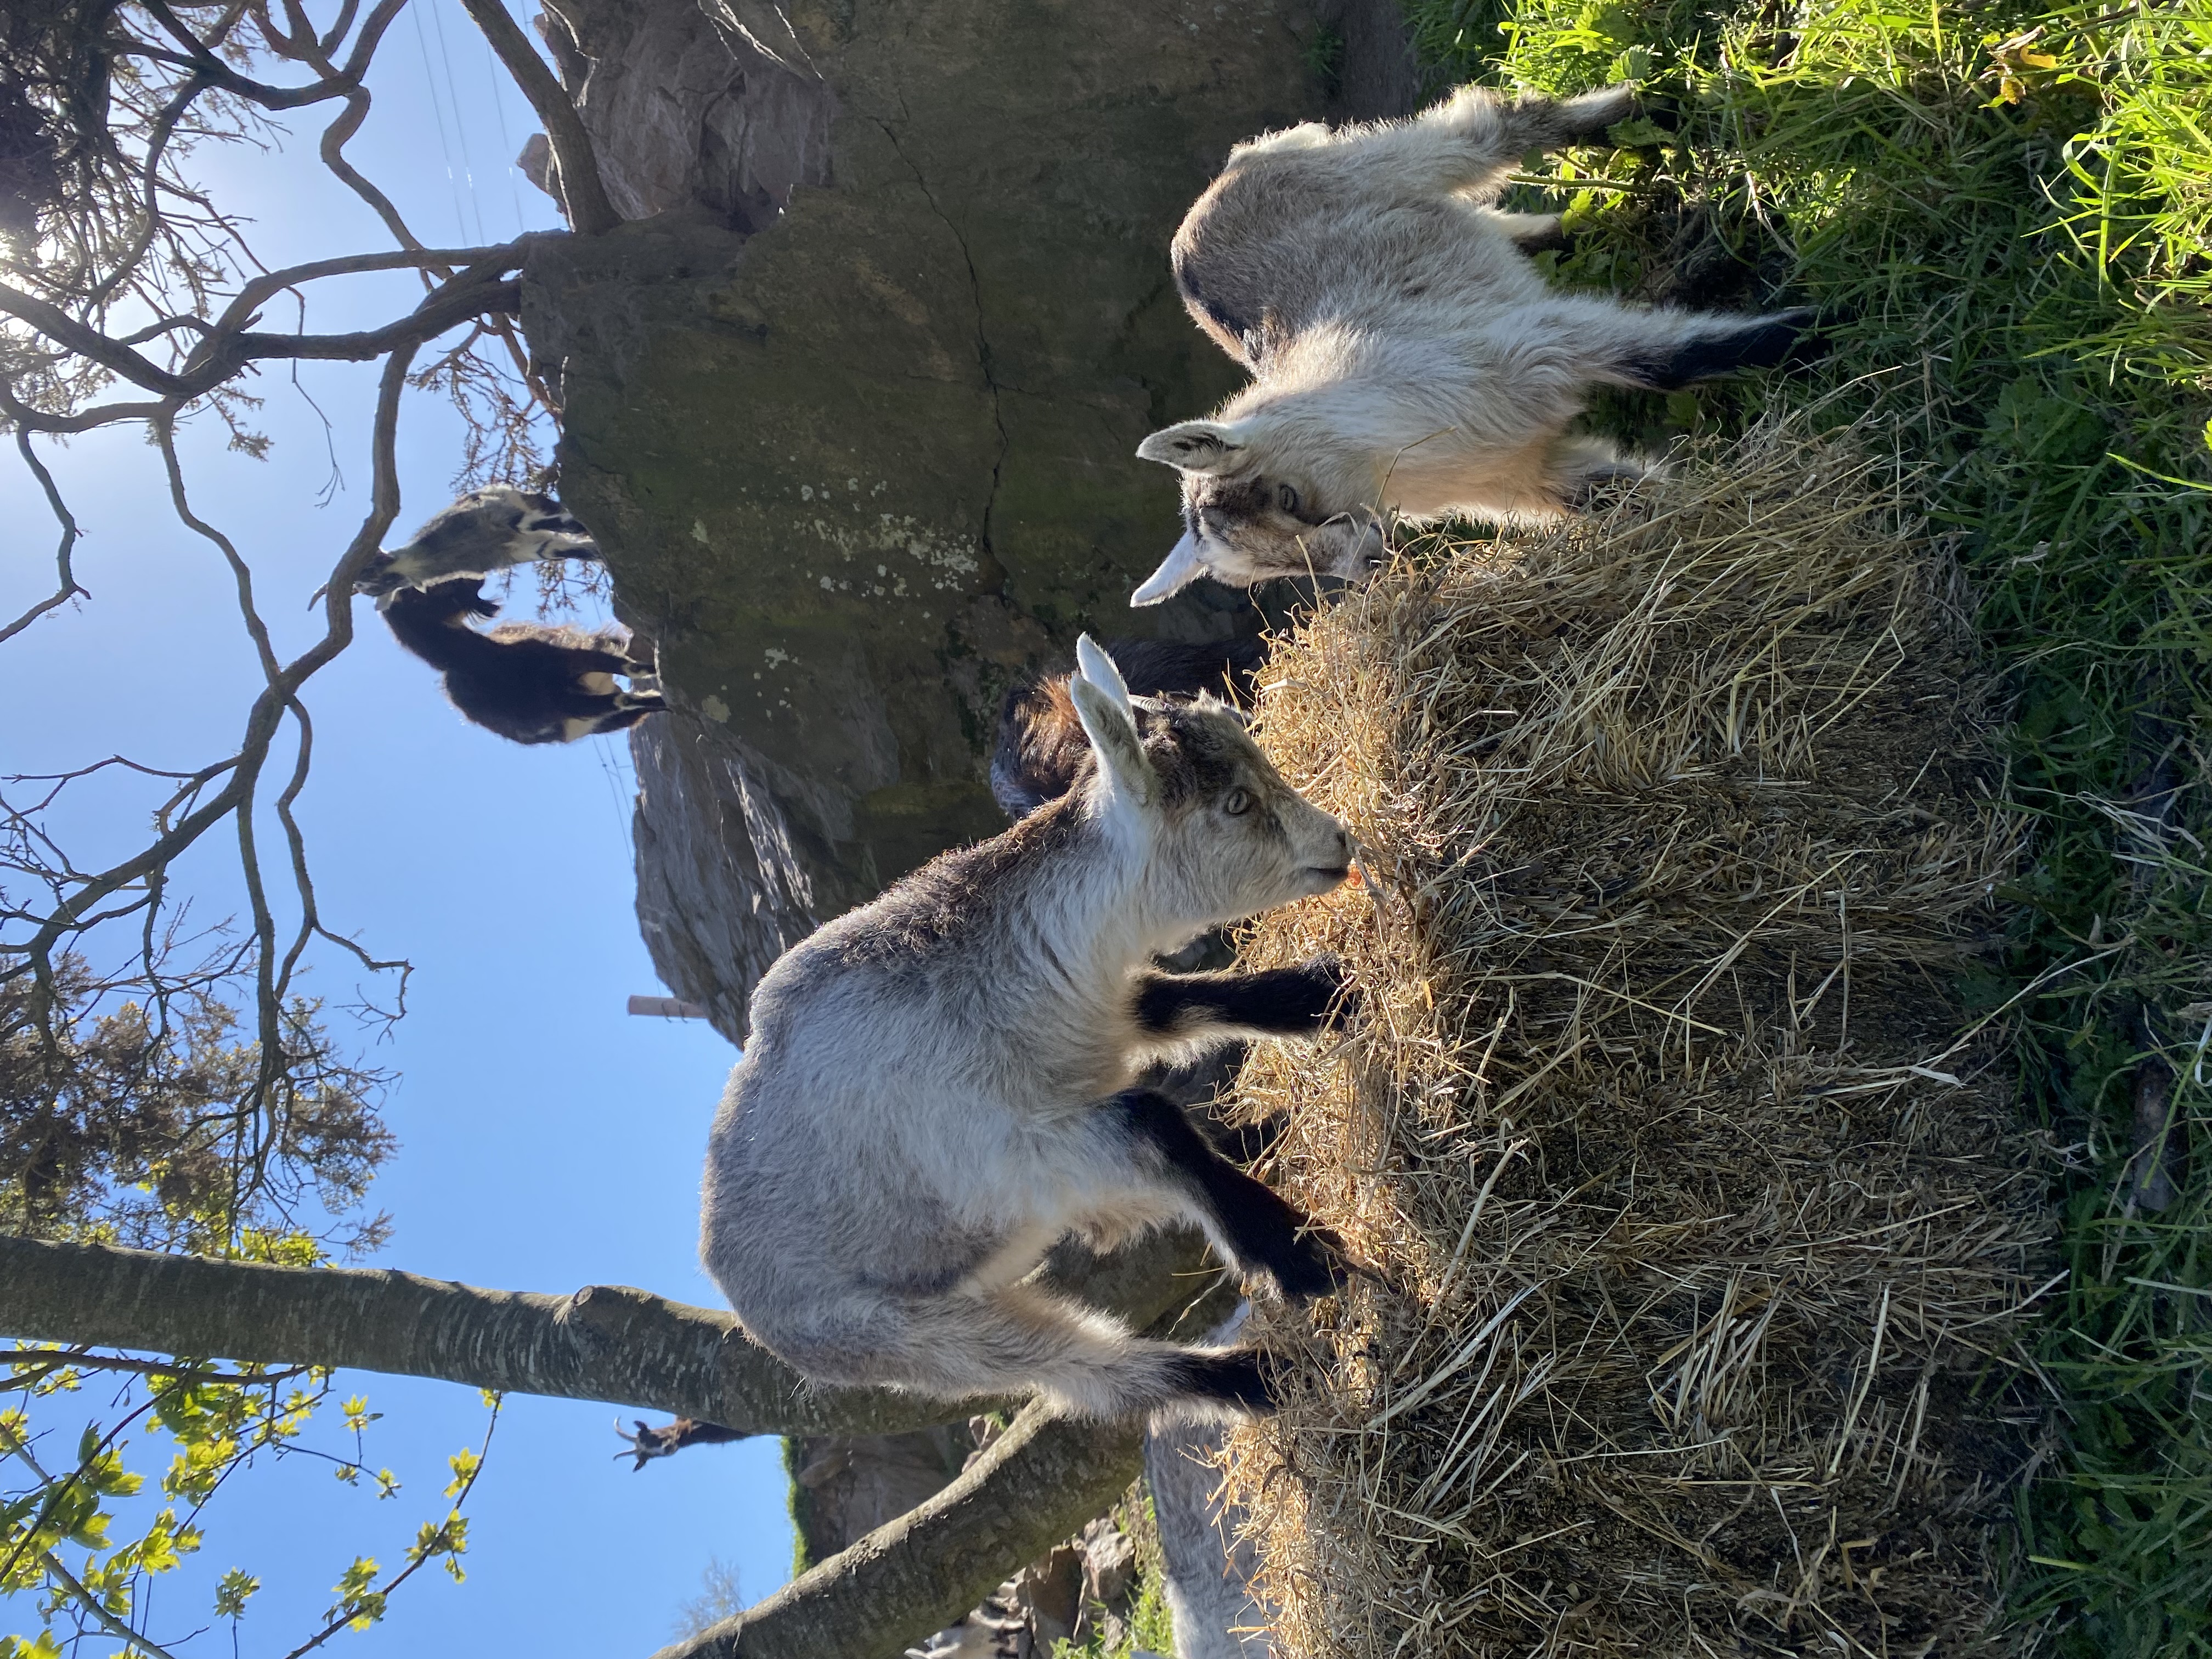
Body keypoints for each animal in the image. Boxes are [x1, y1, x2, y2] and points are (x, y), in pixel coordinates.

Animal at [354, 485, 596, 598]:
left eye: (369, 568)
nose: (358, 585)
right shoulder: (521, 550)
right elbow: (571, 548)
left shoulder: (490, 514)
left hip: (511, 504)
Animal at [381, 576, 664, 746]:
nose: (478, 576)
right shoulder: (568, 705)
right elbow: (624, 698)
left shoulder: (569, 657)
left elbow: (629, 667)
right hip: (600, 720)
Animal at [1129, 83, 1815, 604]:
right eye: (1273, 570)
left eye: (1287, 495)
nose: (1368, 565)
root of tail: (1212, 193)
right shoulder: (1526, 474)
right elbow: (1620, 493)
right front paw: (1704, 503)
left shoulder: (1538, 344)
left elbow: (1671, 361)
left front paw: (1815, 331)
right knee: (1511, 223)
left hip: (1371, 164)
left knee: (1494, 127)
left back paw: (1658, 110)